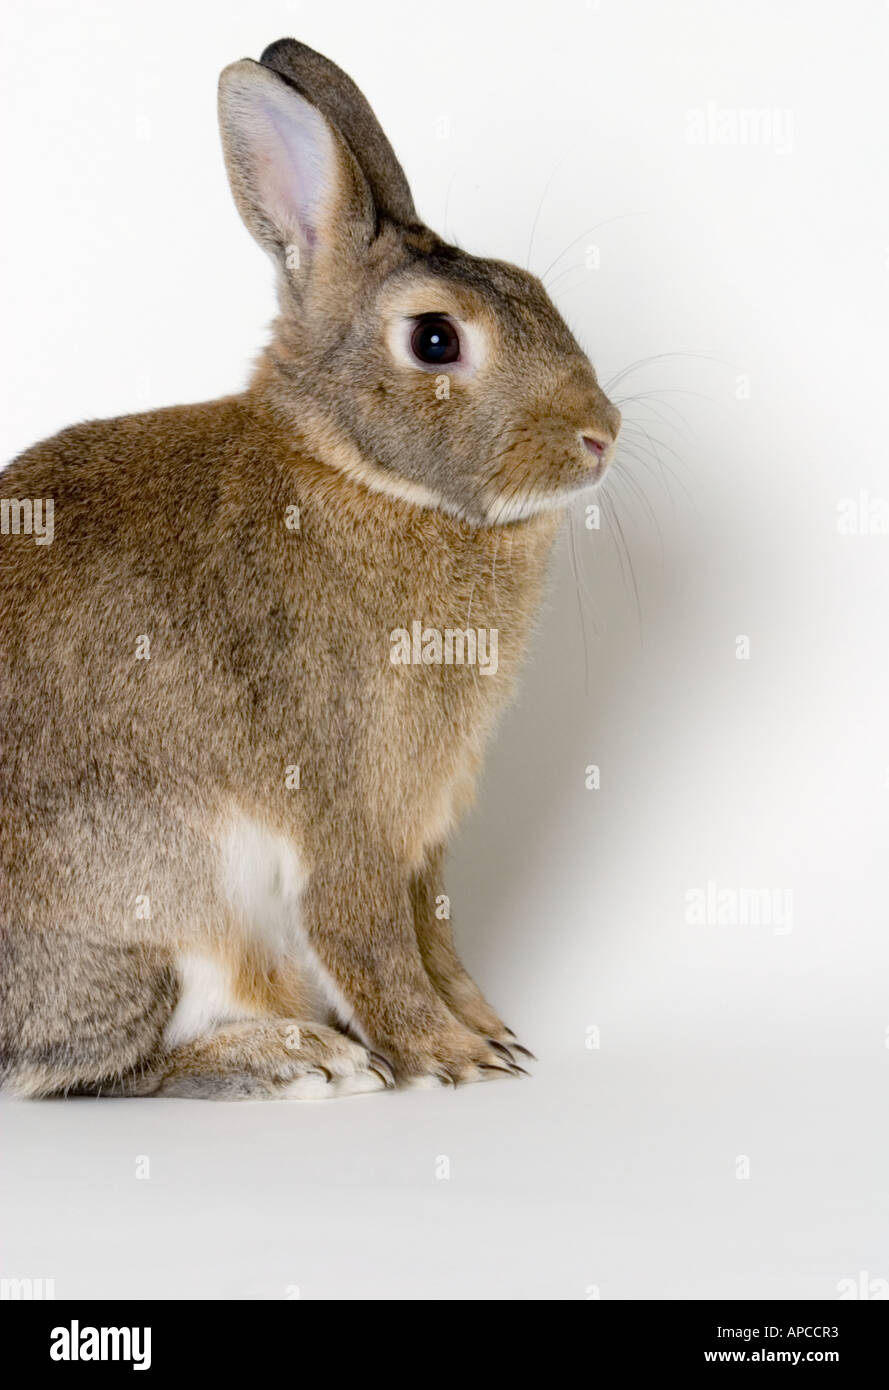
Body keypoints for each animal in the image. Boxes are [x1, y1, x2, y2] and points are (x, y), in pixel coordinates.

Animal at [0, 38, 620, 1099]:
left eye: (530, 286)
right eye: (435, 338)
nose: (599, 434)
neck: (362, 471)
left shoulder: (424, 836)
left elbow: (432, 939)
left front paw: (490, 1035)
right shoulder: (348, 806)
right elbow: (366, 935)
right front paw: (445, 1055)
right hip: (148, 914)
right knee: (103, 1068)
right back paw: (301, 1061)